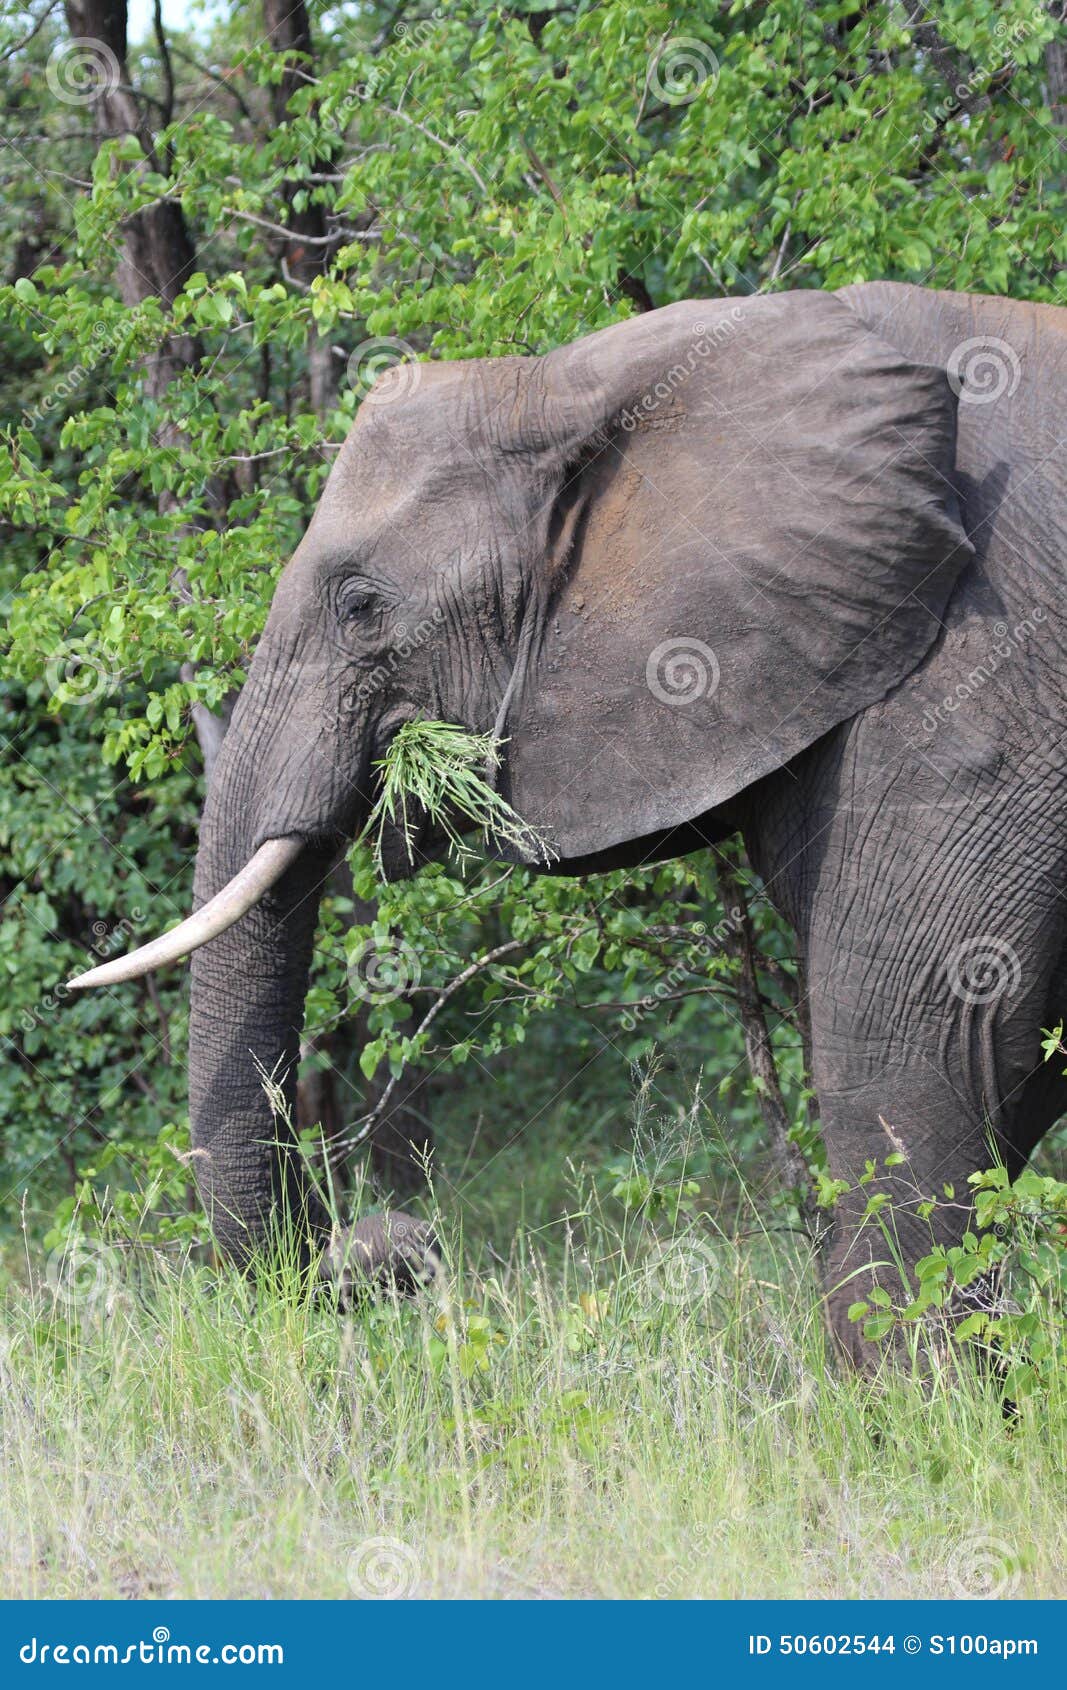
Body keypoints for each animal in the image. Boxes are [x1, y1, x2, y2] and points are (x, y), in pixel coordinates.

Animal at [70, 281, 1067, 1366]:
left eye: (360, 606)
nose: (396, 1241)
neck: (573, 377)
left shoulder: (972, 689)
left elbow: (921, 1040)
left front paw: (907, 1401)